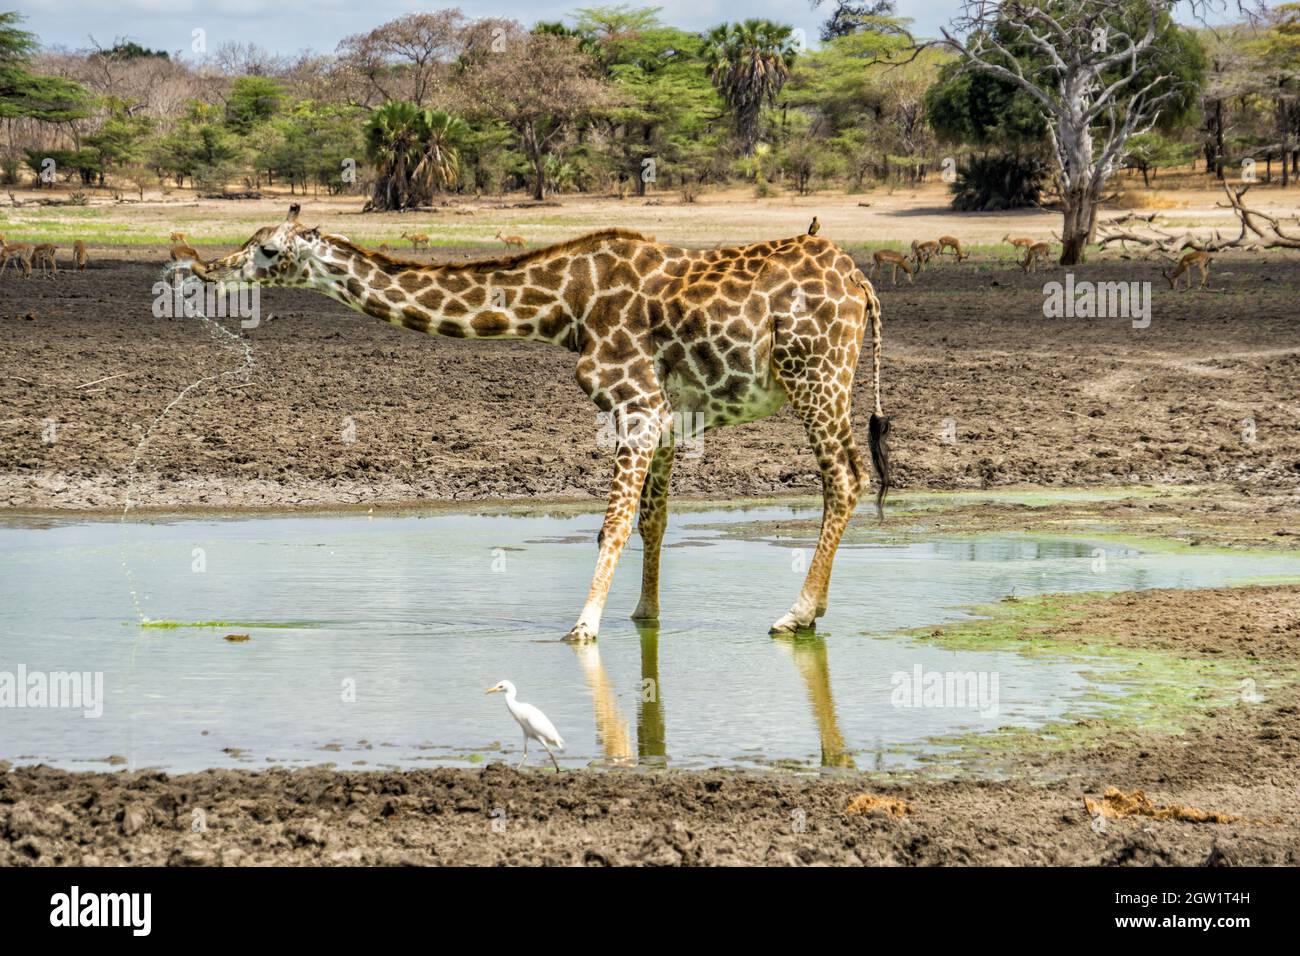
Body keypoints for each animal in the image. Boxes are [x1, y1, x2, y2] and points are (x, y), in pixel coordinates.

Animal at [194, 205, 891, 640]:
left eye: (267, 250)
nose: (207, 269)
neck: (567, 307)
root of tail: (863, 285)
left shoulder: (636, 404)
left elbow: (611, 525)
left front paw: (583, 628)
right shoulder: (668, 417)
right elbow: (653, 521)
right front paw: (644, 615)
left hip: (815, 374)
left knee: (843, 478)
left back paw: (797, 614)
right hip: (826, 379)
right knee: (849, 478)